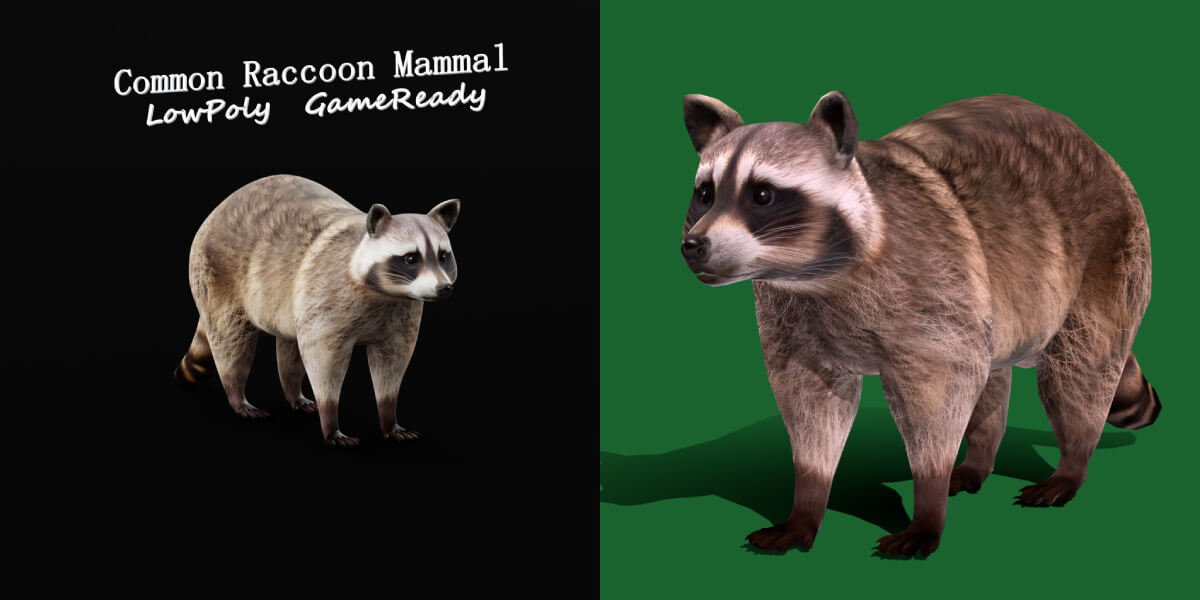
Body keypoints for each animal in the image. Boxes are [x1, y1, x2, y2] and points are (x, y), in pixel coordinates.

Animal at [174, 174, 460, 447]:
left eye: (443, 256)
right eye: (411, 258)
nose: (444, 288)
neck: (383, 295)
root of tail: (218, 210)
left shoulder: (402, 311)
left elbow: (393, 361)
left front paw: (389, 416)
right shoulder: (326, 295)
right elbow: (323, 360)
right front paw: (330, 420)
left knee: (289, 344)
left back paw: (293, 393)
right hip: (214, 275)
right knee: (231, 340)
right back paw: (237, 395)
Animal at [680, 92, 1158, 557]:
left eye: (763, 195)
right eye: (705, 193)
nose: (693, 245)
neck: (818, 278)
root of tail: (1100, 153)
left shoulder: (929, 281)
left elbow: (940, 391)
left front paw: (929, 500)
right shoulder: (793, 318)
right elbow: (811, 401)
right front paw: (808, 500)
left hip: (1108, 254)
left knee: (1079, 367)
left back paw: (1071, 462)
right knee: (993, 373)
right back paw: (979, 457)